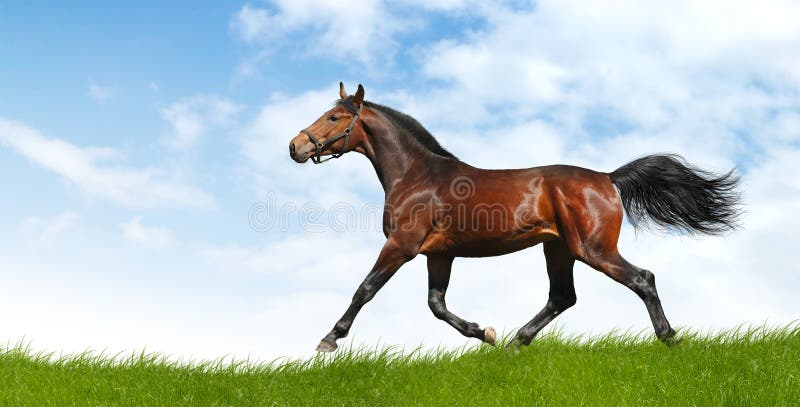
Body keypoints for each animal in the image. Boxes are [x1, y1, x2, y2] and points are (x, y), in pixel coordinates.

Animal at [288, 83, 741, 352]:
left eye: (334, 118)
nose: (295, 146)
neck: (418, 175)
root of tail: (607, 178)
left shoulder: (401, 246)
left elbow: (364, 290)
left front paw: (328, 340)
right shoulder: (439, 255)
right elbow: (437, 304)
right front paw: (485, 333)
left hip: (592, 249)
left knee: (642, 279)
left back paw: (669, 339)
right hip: (558, 249)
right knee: (562, 297)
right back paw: (513, 344)